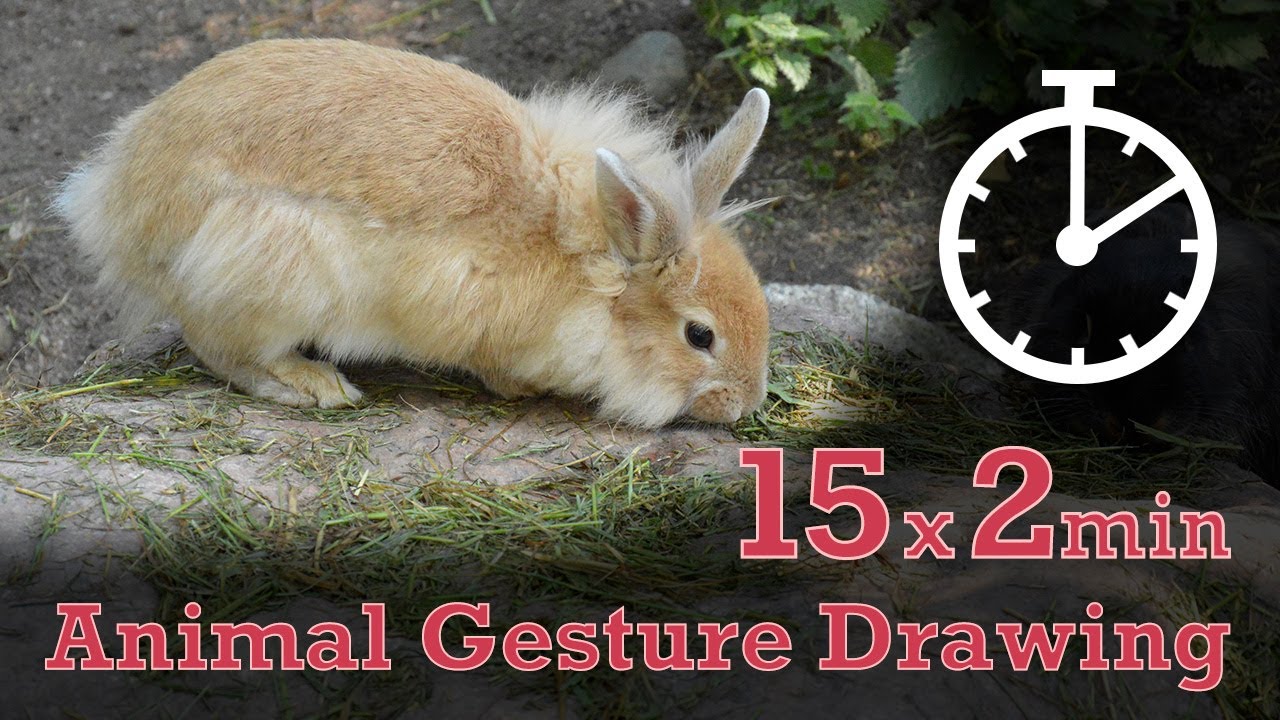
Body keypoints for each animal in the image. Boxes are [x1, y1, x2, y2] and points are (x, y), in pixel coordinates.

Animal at [54, 39, 774, 428]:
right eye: (700, 335)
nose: (745, 404)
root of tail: (115, 201)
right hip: (266, 267)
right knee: (221, 350)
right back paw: (315, 386)